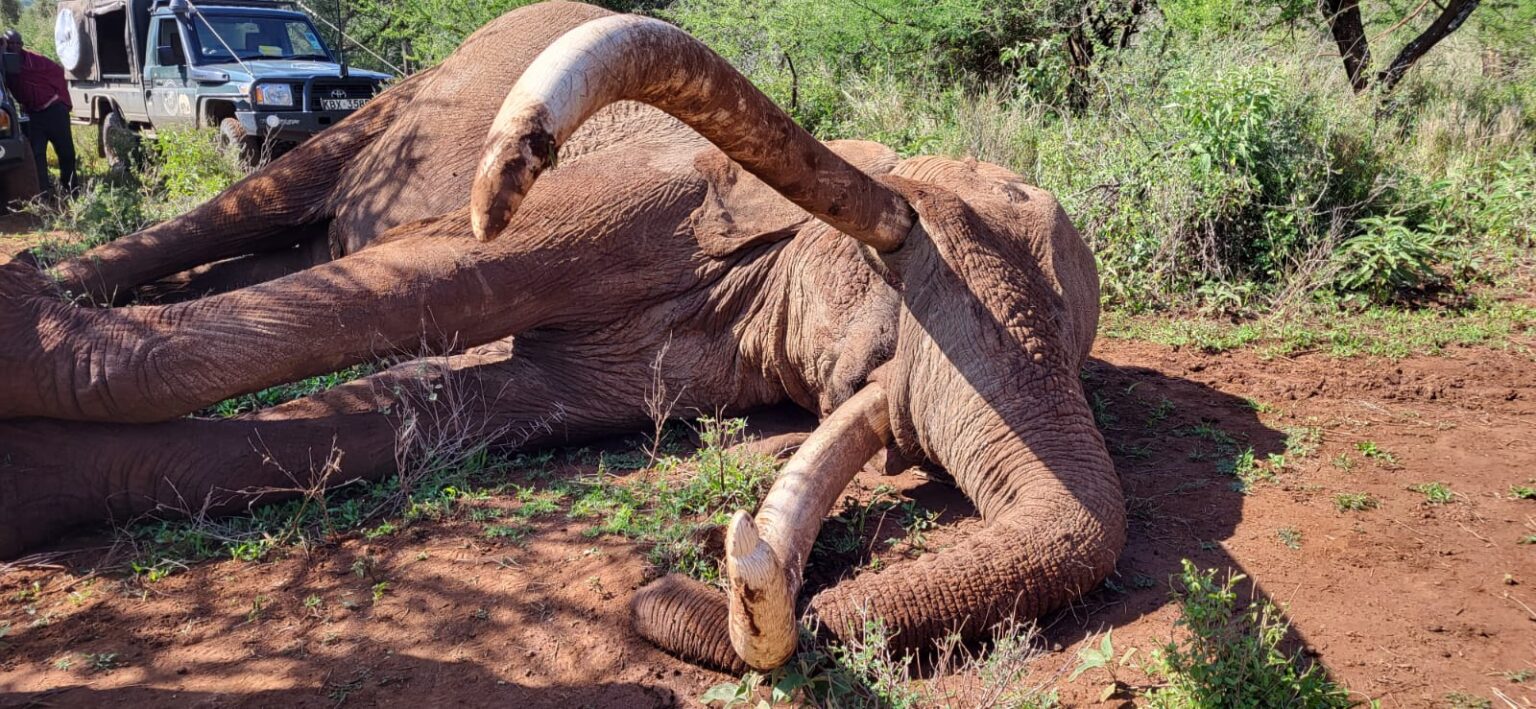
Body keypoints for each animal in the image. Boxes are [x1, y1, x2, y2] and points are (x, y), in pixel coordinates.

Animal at [0, 2, 1124, 672]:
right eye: (899, 272)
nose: (668, 581)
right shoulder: (653, 190)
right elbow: (435, 275)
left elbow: (436, 413)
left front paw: (30, 490)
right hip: (407, 95)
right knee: (261, 198)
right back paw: (43, 280)